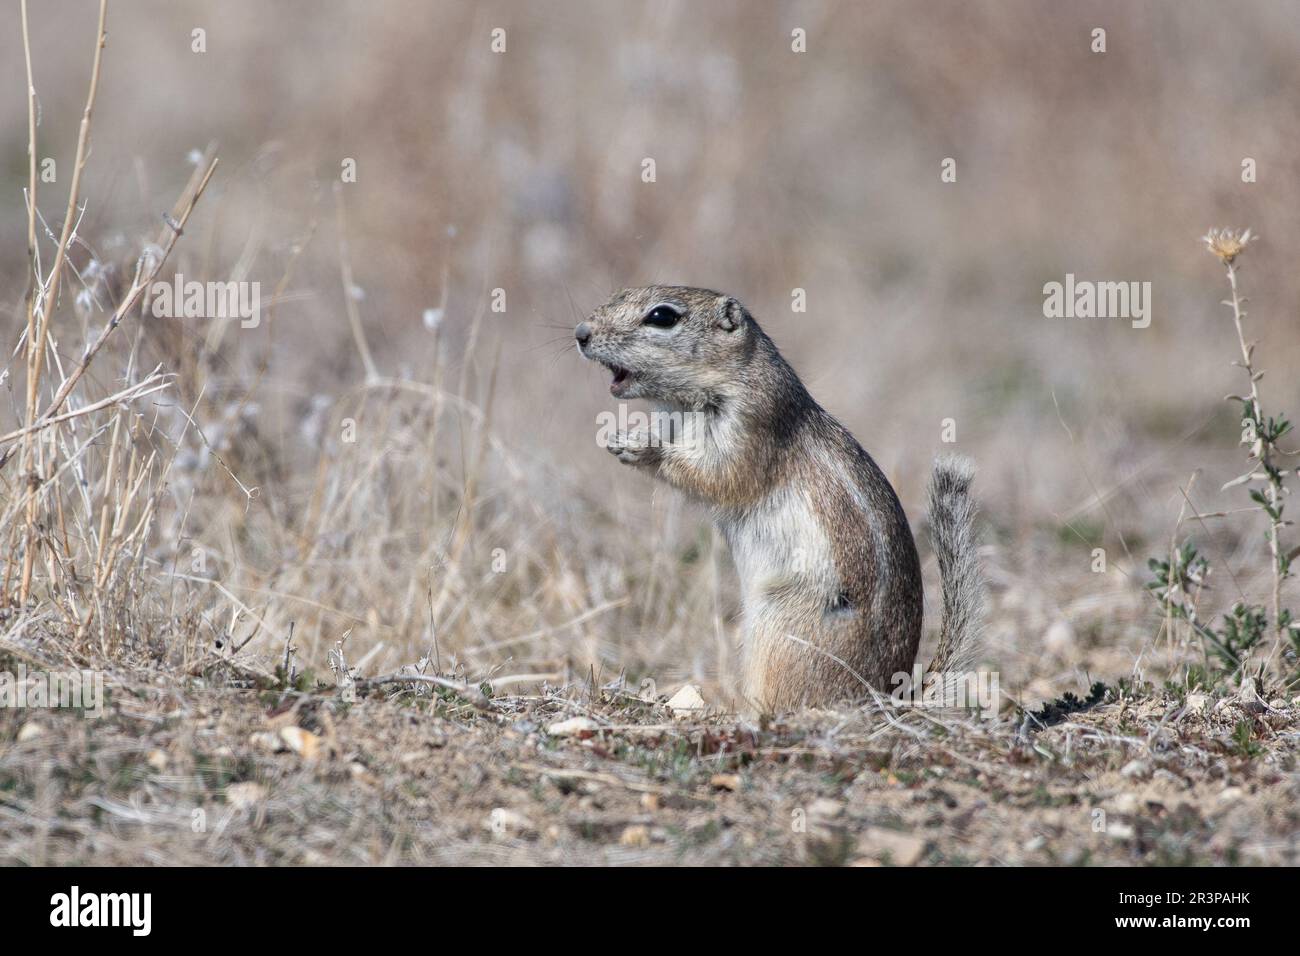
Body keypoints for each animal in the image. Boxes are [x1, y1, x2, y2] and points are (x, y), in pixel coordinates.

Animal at [576, 286, 983, 713]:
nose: (581, 333)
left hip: (779, 633)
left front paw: (639, 446)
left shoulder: (749, 425)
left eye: (662, 317)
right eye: (620, 294)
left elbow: (717, 476)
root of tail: (887, 697)